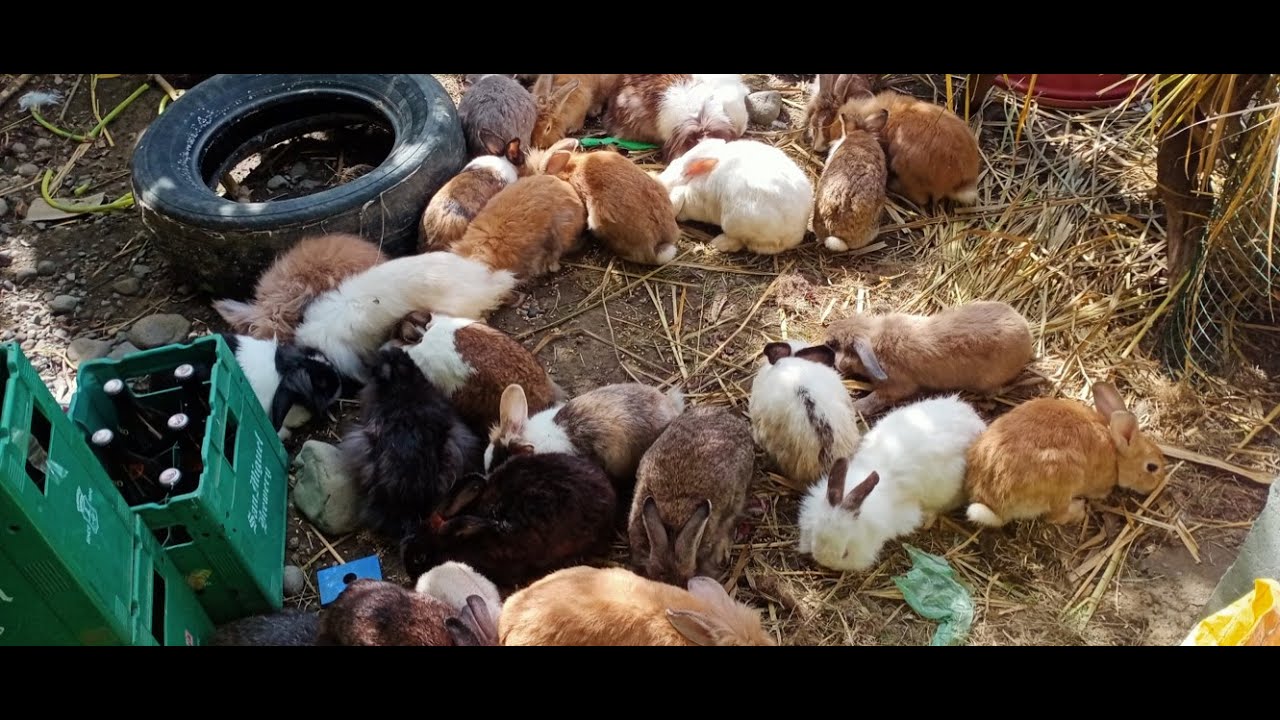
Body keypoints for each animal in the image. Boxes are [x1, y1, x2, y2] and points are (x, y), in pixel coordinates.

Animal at [823, 300, 1034, 417]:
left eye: (834, 344)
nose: (827, 331)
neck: (877, 339)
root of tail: (1026, 332)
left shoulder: (896, 388)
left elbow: (875, 398)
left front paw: (856, 406)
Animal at [964, 382, 1168, 528]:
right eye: (1152, 467)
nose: (1158, 484)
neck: (1117, 455)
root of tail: (996, 503)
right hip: (1064, 479)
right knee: (1055, 517)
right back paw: (1079, 510)